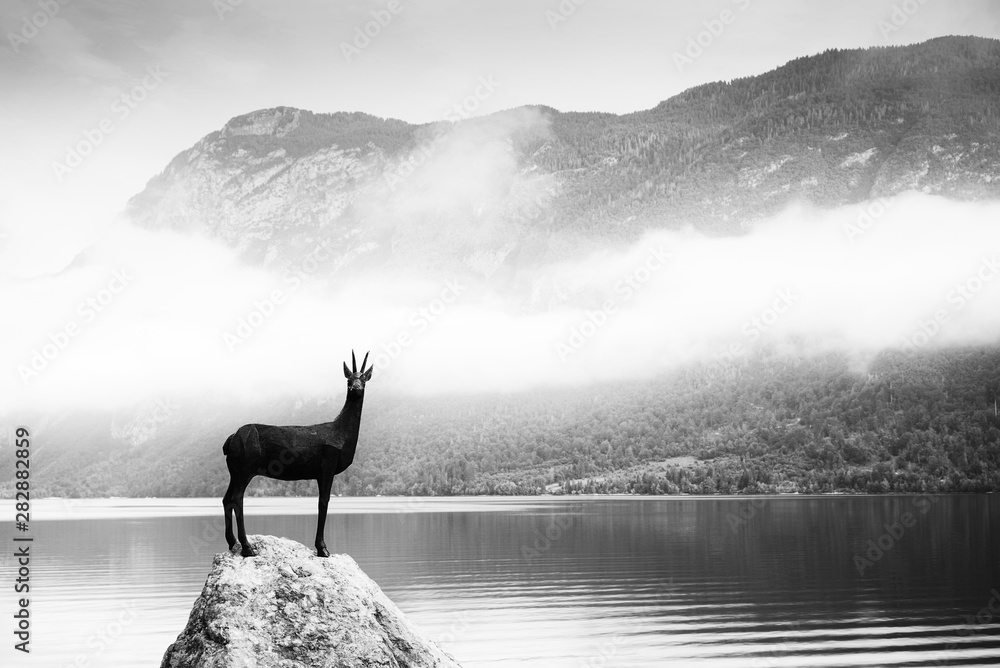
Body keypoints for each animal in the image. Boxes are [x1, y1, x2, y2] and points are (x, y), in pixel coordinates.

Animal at [222, 351, 373, 558]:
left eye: (364, 378)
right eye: (348, 378)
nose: (356, 387)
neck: (341, 434)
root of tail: (231, 439)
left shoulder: (321, 471)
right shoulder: (328, 465)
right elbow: (323, 502)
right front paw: (322, 548)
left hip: (234, 470)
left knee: (226, 499)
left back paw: (232, 542)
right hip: (246, 468)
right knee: (237, 499)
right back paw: (247, 547)